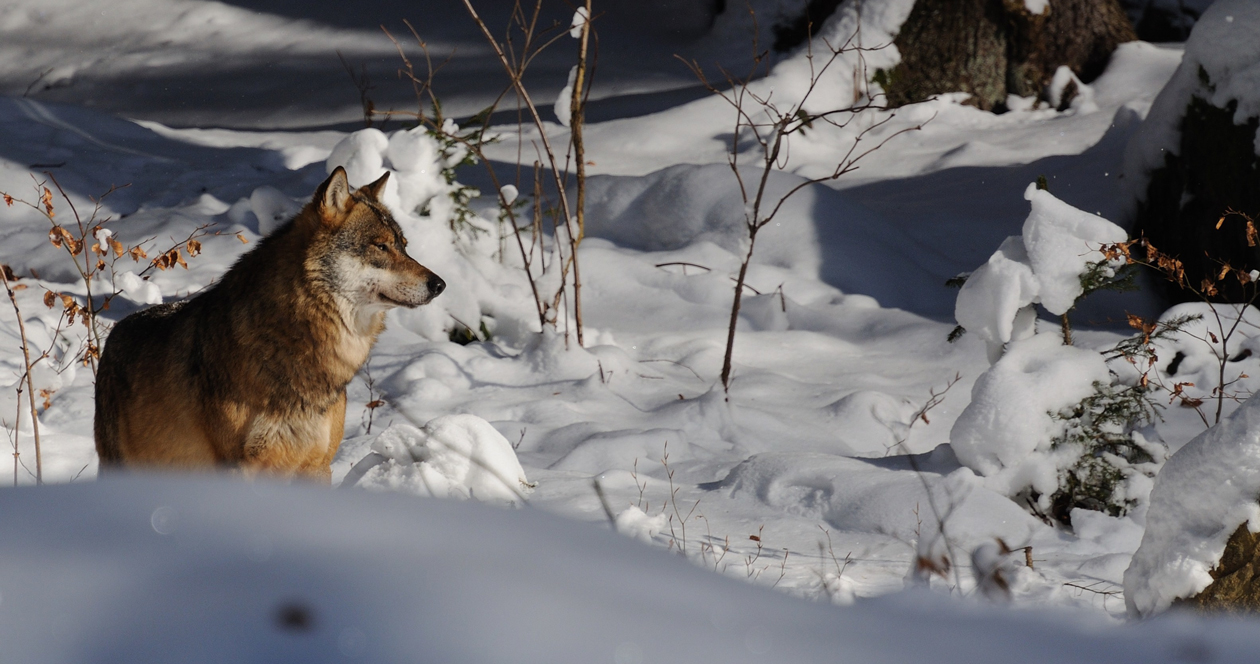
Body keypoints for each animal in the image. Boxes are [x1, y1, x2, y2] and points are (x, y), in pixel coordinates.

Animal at [94, 167, 444, 482]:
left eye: (404, 245)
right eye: (380, 246)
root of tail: (115, 333)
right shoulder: (241, 467)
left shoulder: (318, 464)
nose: (439, 284)